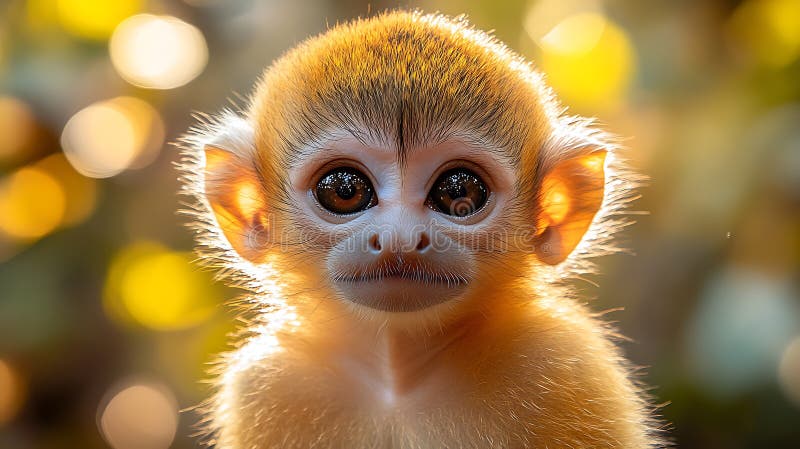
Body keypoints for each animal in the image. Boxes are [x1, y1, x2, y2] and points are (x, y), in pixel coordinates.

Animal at [178, 10, 665, 449]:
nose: (400, 239)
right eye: (344, 190)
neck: (397, 378)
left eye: (459, 190)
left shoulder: (565, 363)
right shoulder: (269, 383)